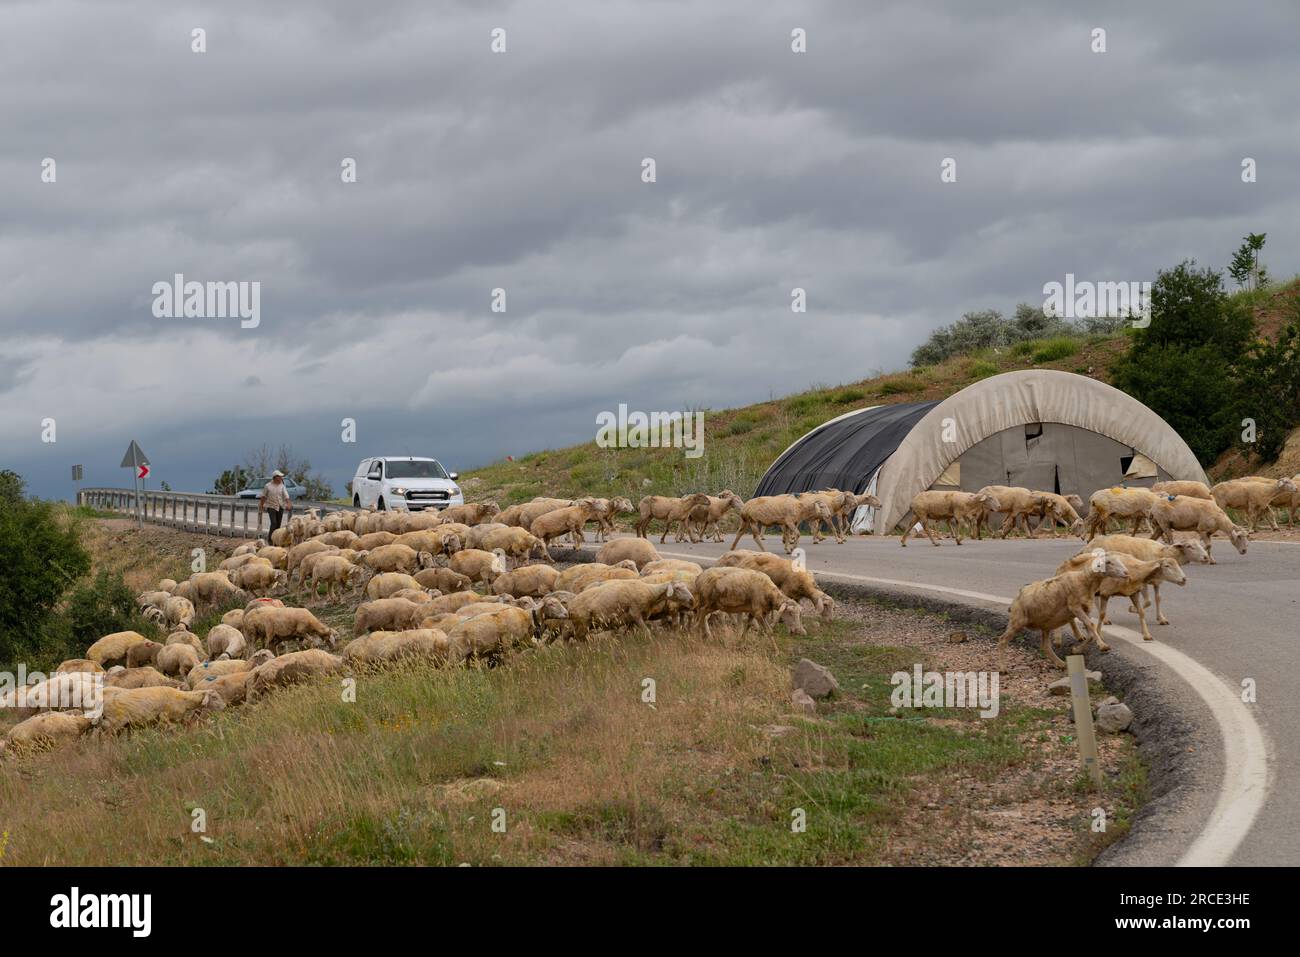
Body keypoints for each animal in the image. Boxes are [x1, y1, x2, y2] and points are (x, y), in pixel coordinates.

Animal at [94, 686, 226, 734]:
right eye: (214, 697)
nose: (224, 706)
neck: (182, 699)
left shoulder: (178, 718)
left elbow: (188, 725)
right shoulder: (164, 716)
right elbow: (172, 729)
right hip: (115, 722)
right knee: (106, 736)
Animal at [995, 552, 1130, 670]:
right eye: (1108, 562)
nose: (1126, 573)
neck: (1084, 580)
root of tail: (1015, 599)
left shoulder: (1085, 609)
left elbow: (1090, 631)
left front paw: (1076, 650)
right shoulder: (1075, 607)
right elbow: (1091, 625)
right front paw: (1103, 646)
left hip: (1045, 625)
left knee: (1045, 646)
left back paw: (1061, 664)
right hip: (1017, 620)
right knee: (1002, 640)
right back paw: (1002, 668)